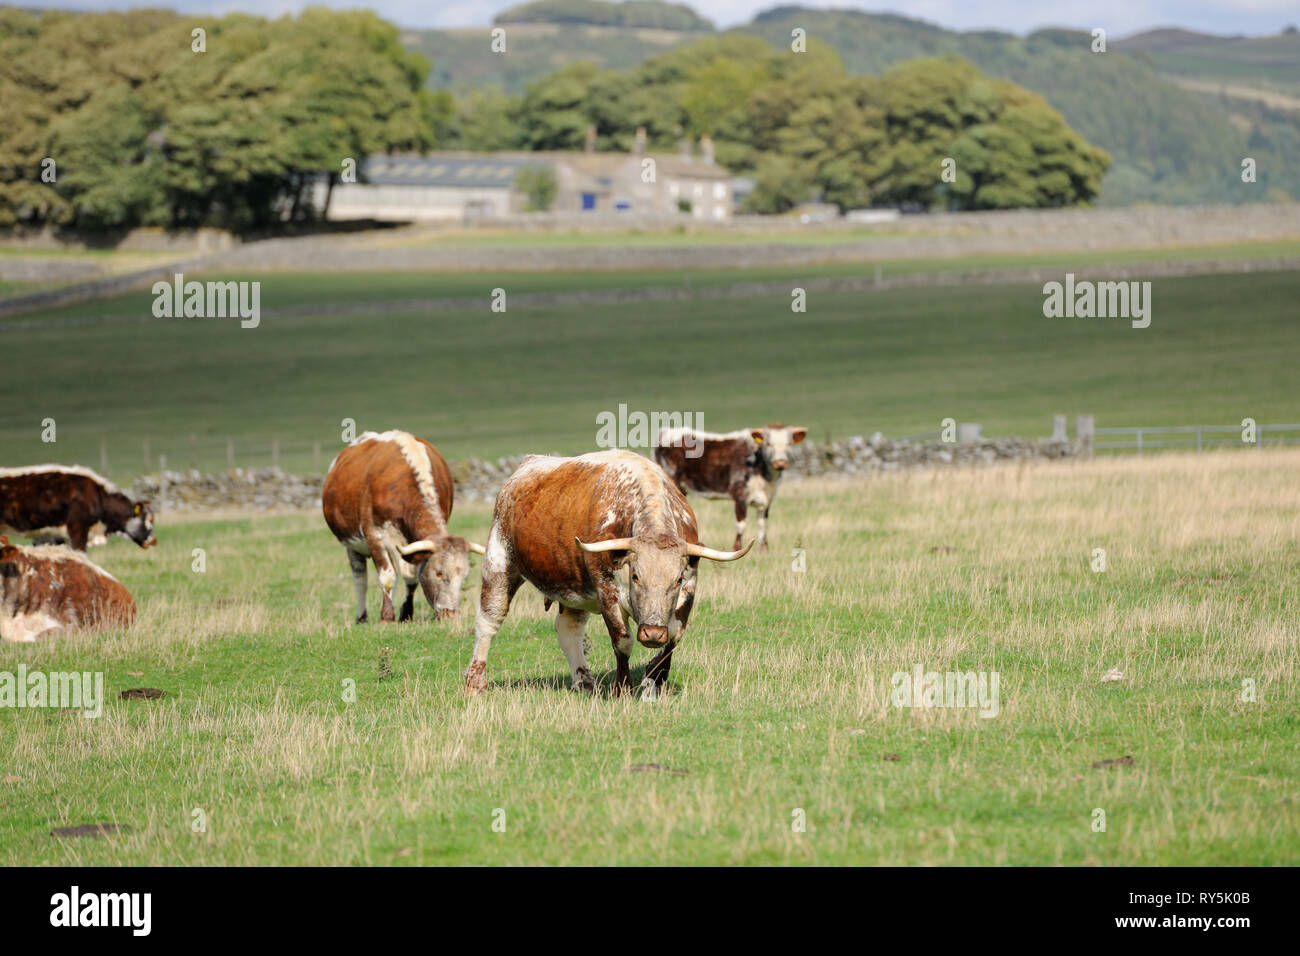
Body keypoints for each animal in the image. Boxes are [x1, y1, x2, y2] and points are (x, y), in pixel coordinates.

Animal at [322, 430, 484, 624]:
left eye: (464, 576)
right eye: (438, 573)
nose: (450, 615)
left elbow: (412, 579)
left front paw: (406, 614)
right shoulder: (375, 537)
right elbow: (387, 577)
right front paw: (387, 616)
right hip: (352, 545)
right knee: (360, 578)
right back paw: (362, 617)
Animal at [465, 449, 751, 699]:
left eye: (677, 579)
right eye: (636, 576)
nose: (652, 633)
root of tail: (526, 466)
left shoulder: (689, 590)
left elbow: (674, 637)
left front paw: (654, 682)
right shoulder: (606, 592)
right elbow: (622, 641)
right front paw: (622, 688)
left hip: (573, 587)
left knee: (568, 630)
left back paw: (585, 681)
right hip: (499, 562)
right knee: (488, 621)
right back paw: (475, 682)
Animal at [654, 423, 807, 552]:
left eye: (789, 444)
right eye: (769, 444)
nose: (780, 463)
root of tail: (668, 431)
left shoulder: (767, 500)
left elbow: (763, 524)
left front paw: (764, 551)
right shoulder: (740, 496)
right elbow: (741, 524)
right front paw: (737, 548)